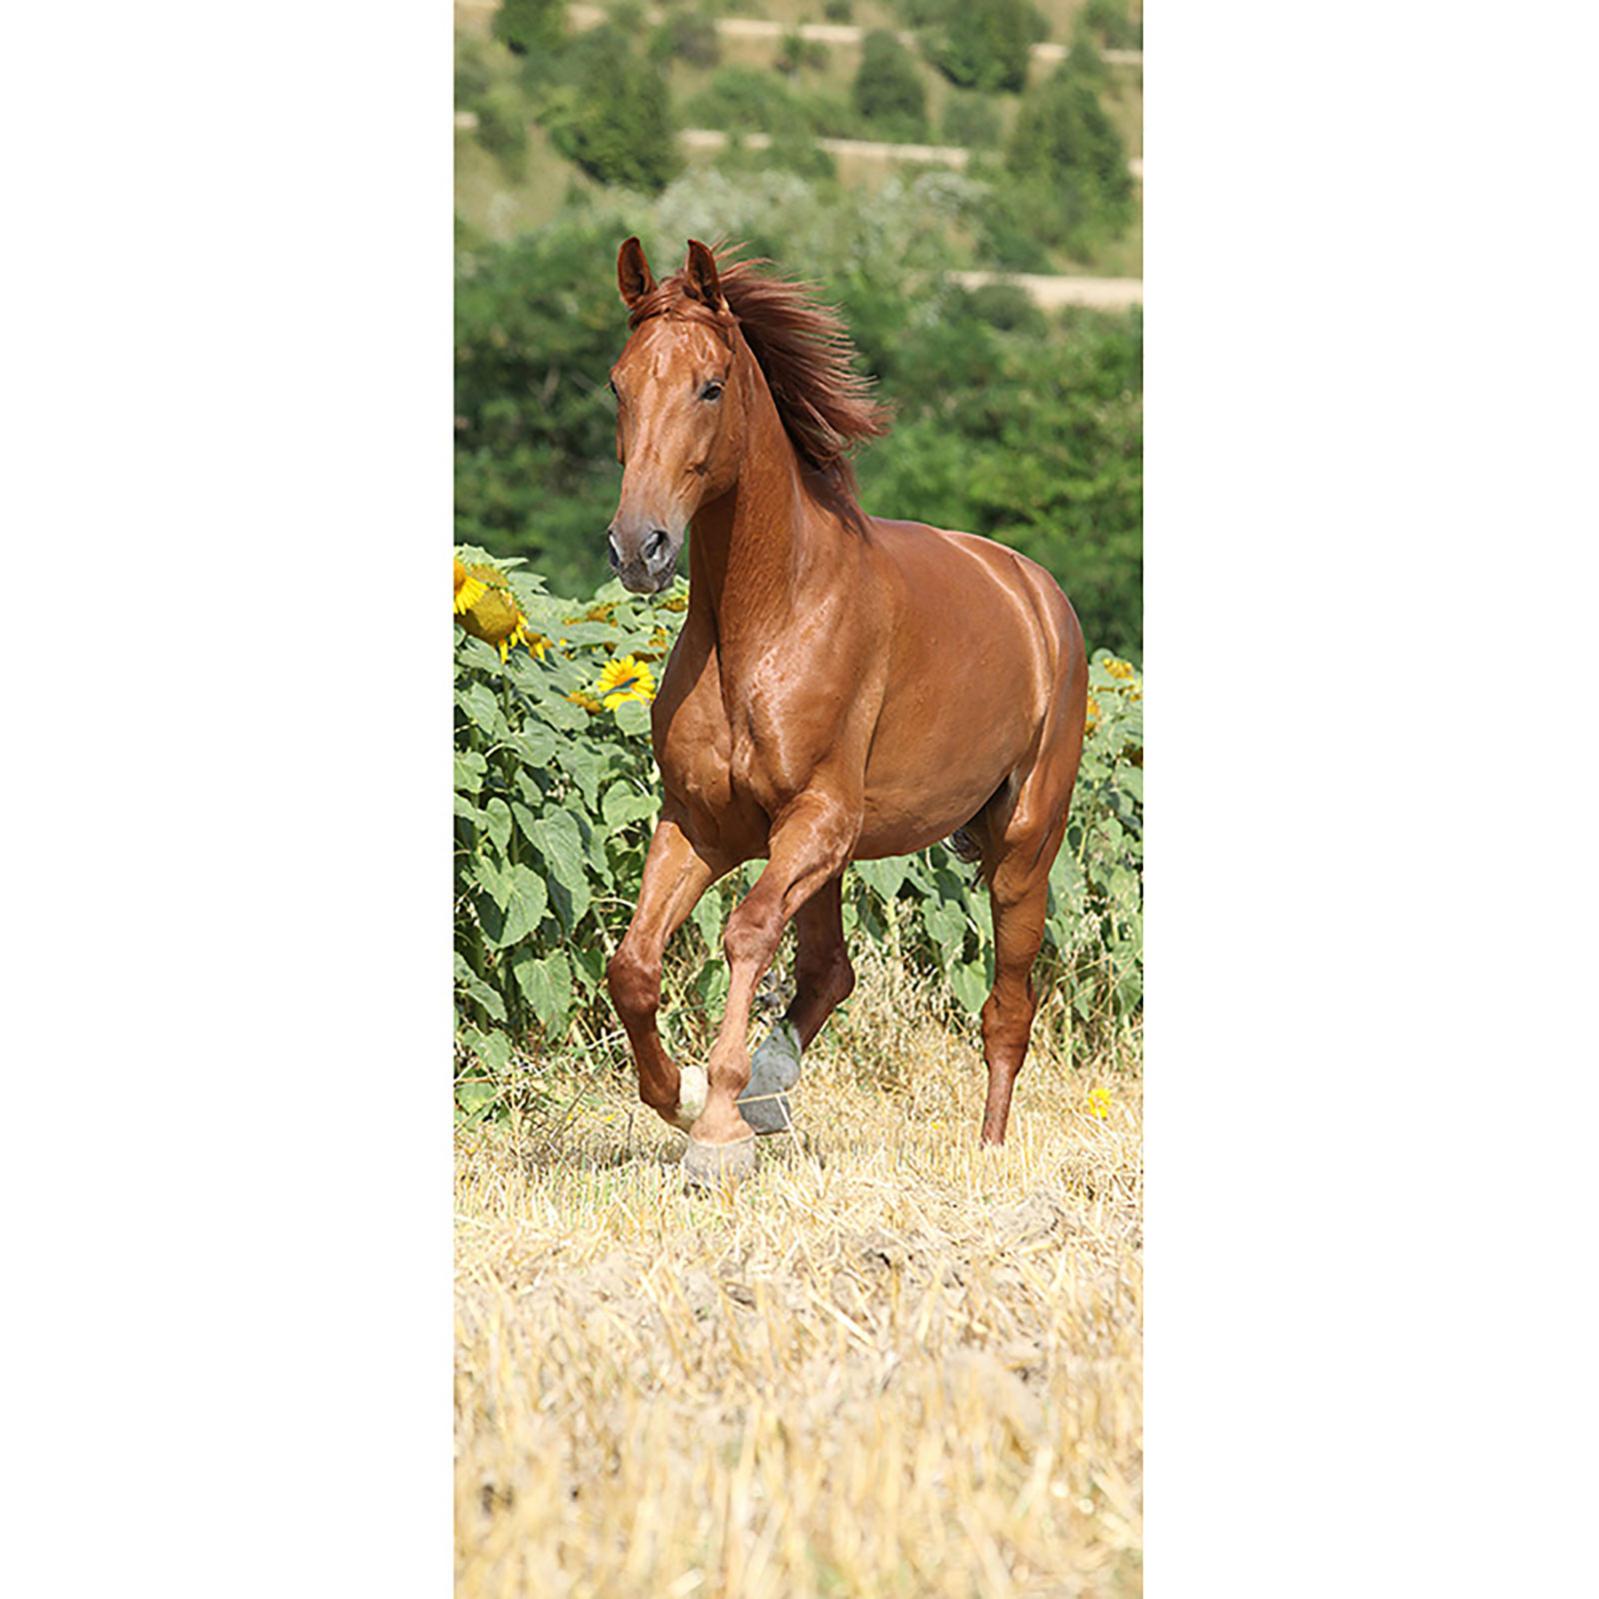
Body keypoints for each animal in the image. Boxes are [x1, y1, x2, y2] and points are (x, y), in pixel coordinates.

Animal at [603, 237, 1088, 1186]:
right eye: (618, 383)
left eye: (710, 385)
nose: (639, 548)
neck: (767, 616)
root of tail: (1035, 590)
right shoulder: (702, 823)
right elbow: (634, 964)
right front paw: (683, 1095)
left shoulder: (816, 816)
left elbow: (747, 932)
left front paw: (717, 1128)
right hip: (831, 851)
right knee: (829, 970)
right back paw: (772, 1085)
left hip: (1019, 849)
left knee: (1007, 1007)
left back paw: (986, 1149)